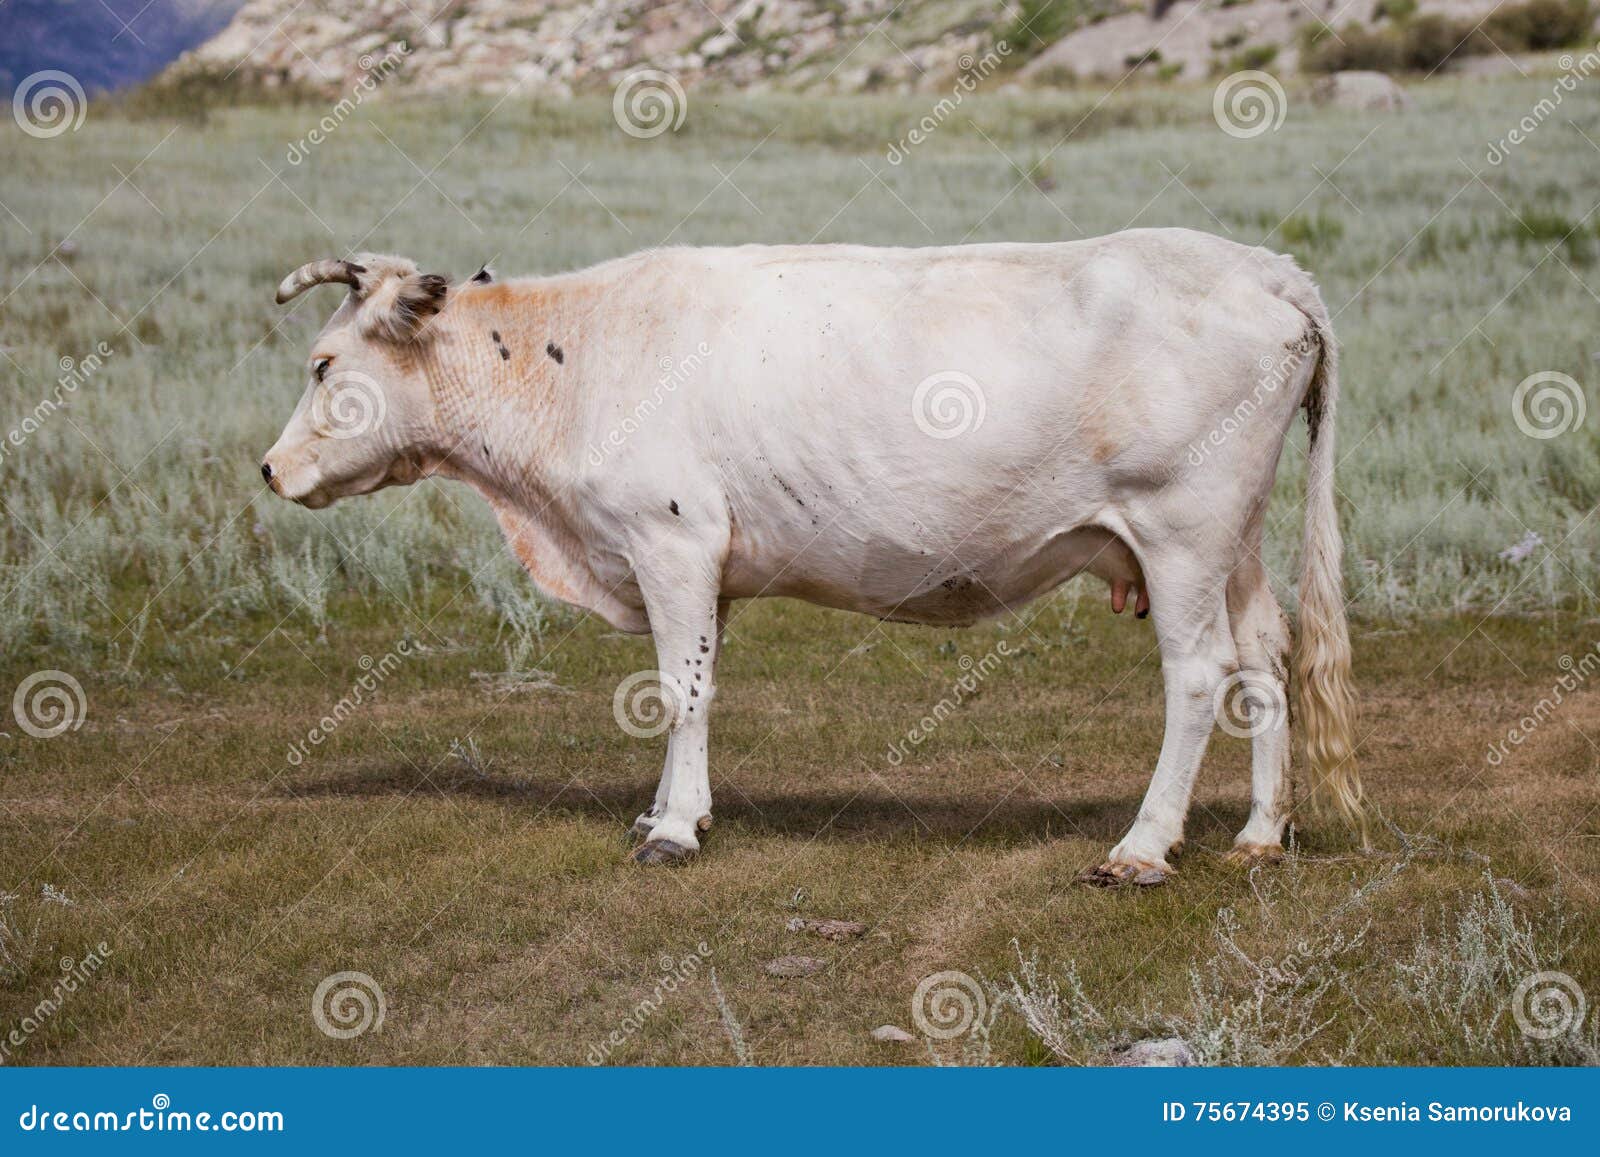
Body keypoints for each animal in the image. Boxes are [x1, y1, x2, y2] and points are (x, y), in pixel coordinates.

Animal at [262, 229, 1364, 885]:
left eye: (323, 364)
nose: (269, 468)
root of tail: (1261, 266)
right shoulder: (702, 566)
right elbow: (690, 689)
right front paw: (669, 811)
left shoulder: (670, 539)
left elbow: (679, 693)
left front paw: (673, 831)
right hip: (1232, 539)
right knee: (1264, 654)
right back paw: (1259, 832)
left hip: (1181, 529)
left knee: (1199, 674)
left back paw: (1141, 847)